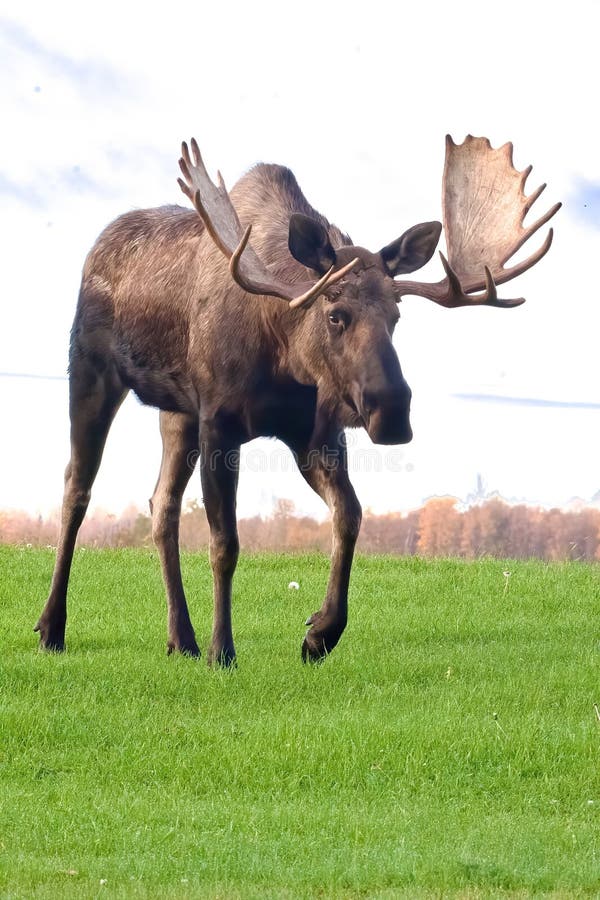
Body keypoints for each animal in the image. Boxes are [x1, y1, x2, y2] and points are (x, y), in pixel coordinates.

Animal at [35, 135, 560, 665]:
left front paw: (321, 632)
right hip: (91, 371)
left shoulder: (312, 431)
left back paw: (180, 638)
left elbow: (350, 515)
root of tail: (99, 243)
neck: (284, 356)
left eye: (396, 316)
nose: (392, 411)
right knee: (76, 487)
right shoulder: (218, 422)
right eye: (335, 313)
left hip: (175, 411)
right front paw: (223, 650)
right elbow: (225, 543)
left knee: (161, 504)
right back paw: (53, 627)